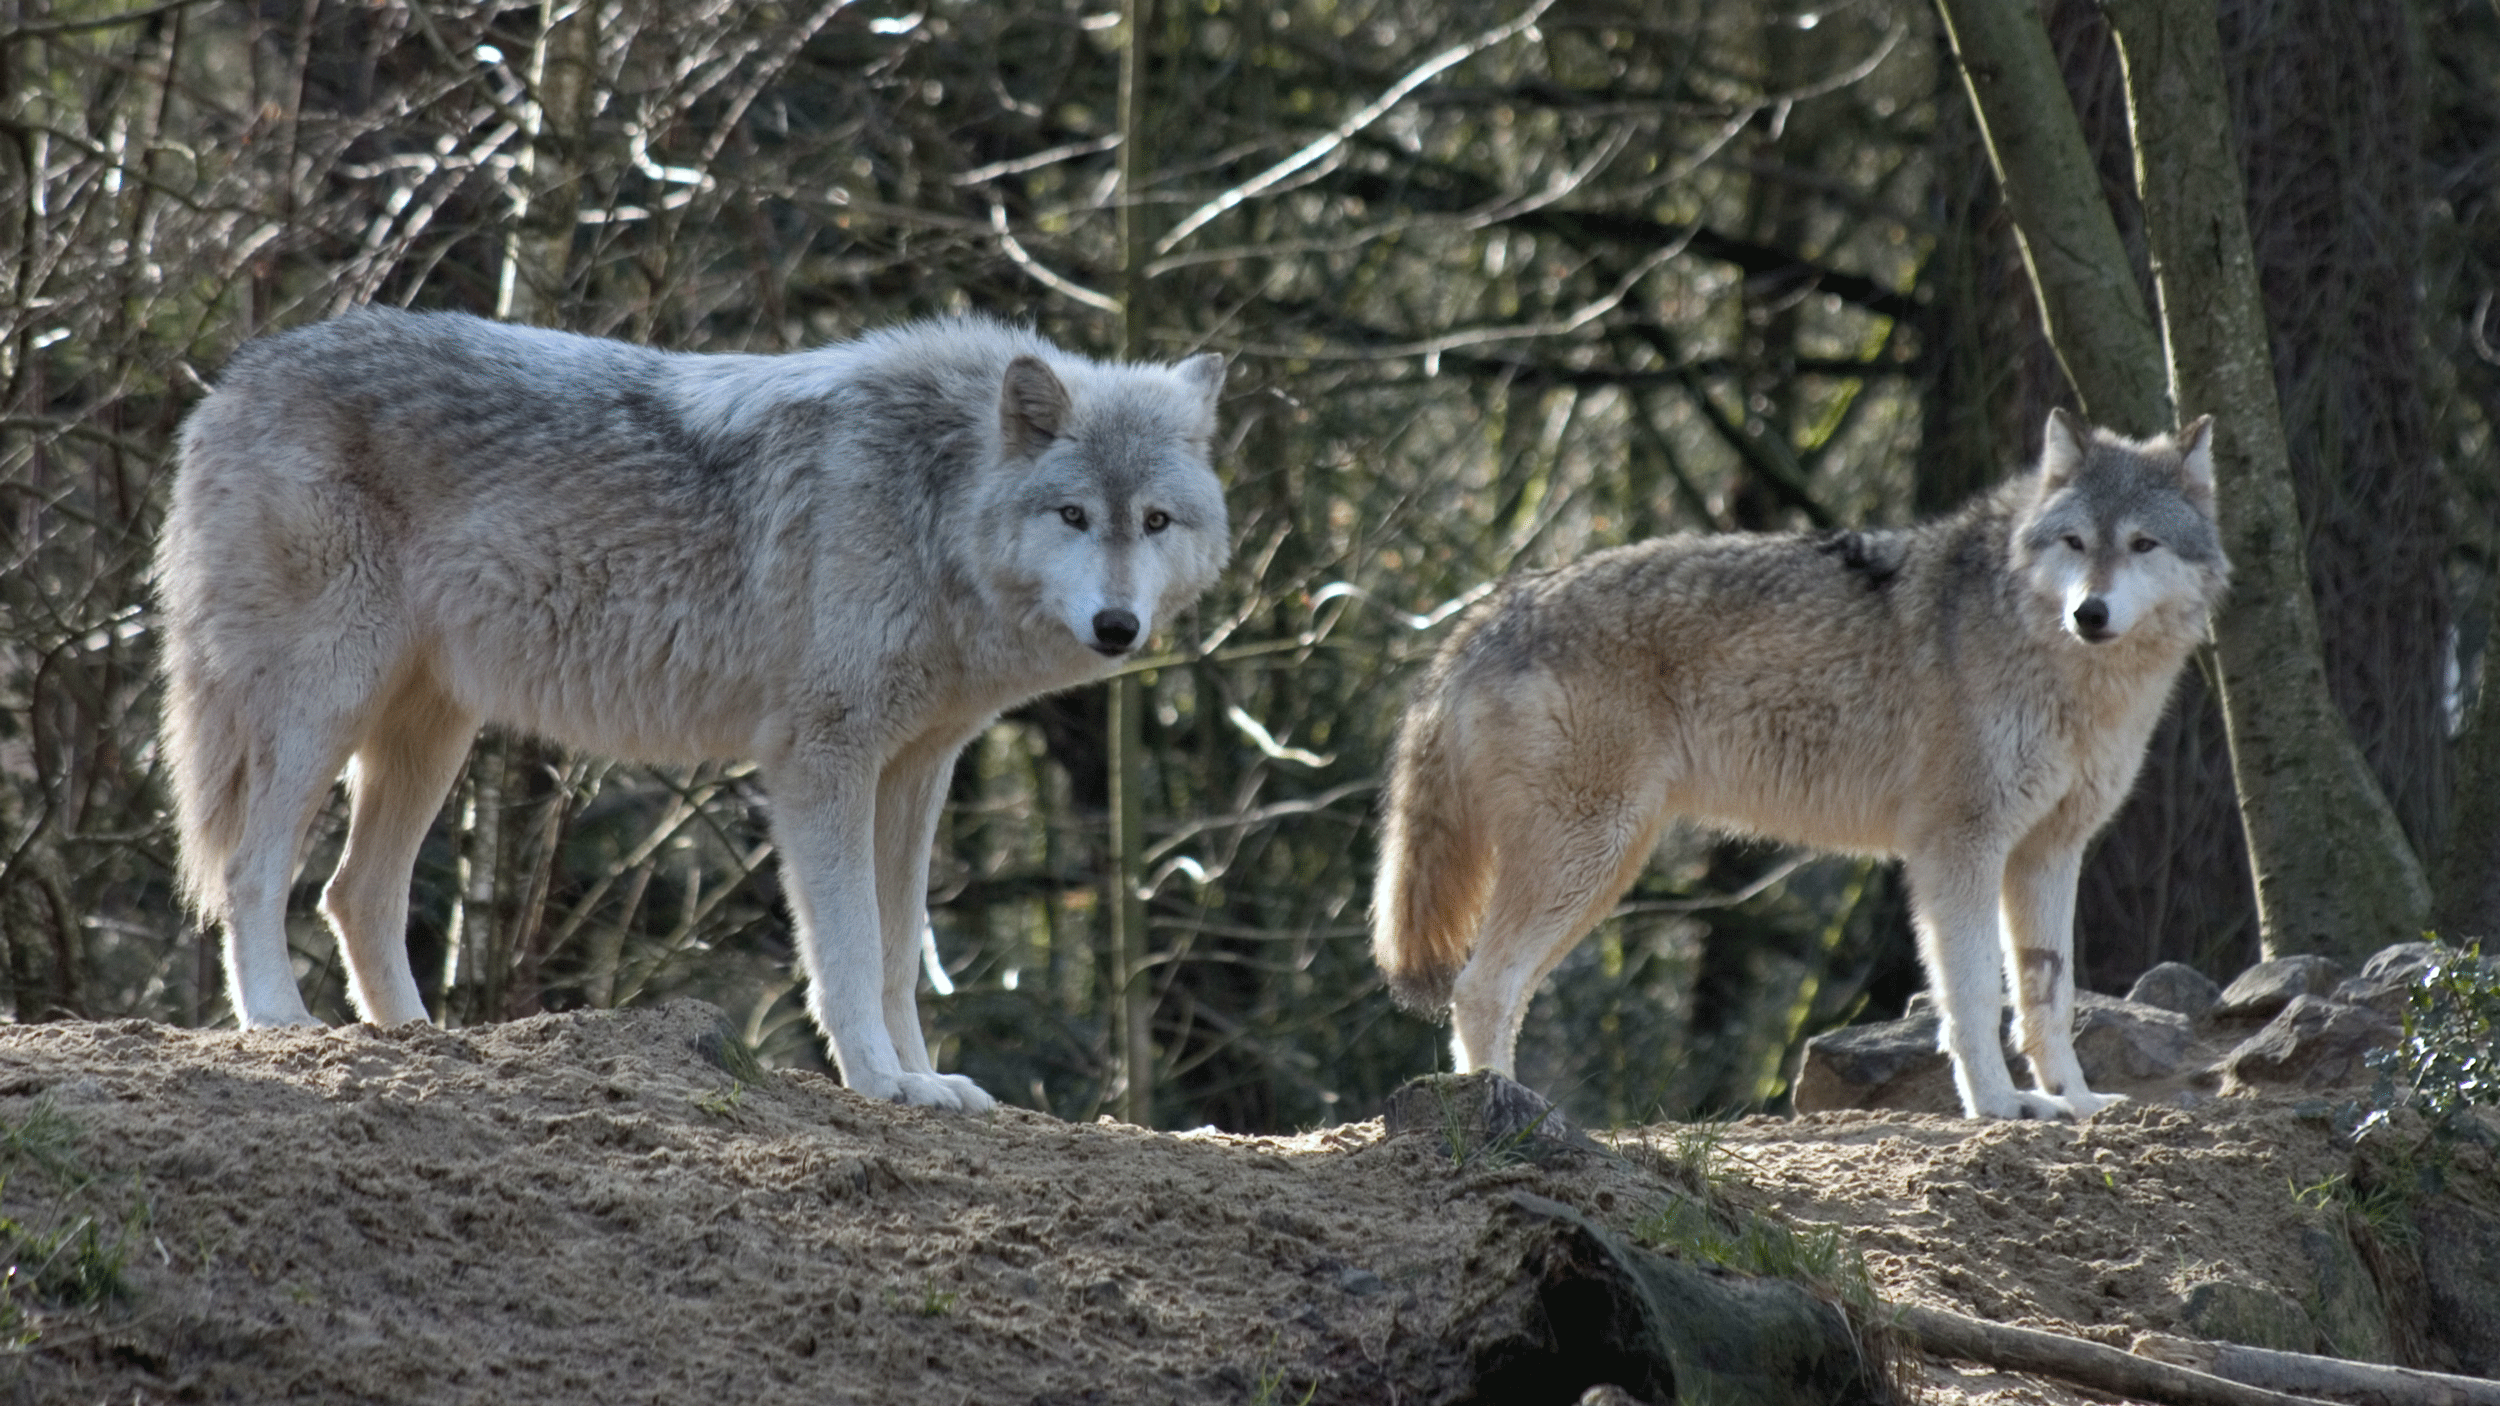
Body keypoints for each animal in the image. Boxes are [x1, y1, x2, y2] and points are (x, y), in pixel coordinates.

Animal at [160, 307, 1228, 1111]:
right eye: (1074, 515)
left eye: (1156, 522)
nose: (1119, 624)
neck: (935, 502)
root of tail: (231, 380)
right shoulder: (821, 763)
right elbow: (849, 946)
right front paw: (879, 1080)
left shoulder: (919, 771)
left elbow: (897, 951)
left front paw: (924, 1080)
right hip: (325, 707)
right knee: (252, 870)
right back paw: (280, 1024)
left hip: (432, 737)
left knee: (354, 892)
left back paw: (422, 1040)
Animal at [1371, 411, 2227, 1120]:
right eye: (2075, 542)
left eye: (2142, 544)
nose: (2090, 613)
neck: (2065, 669)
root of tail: (1487, 613)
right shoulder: (1959, 848)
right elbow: (1976, 995)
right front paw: (1998, 1106)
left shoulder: (2049, 852)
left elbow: (2049, 994)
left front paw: (2073, 1100)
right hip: (1585, 860)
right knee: (1480, 988)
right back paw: (1505, 1108)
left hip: (1600, 874)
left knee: (1500, 989)